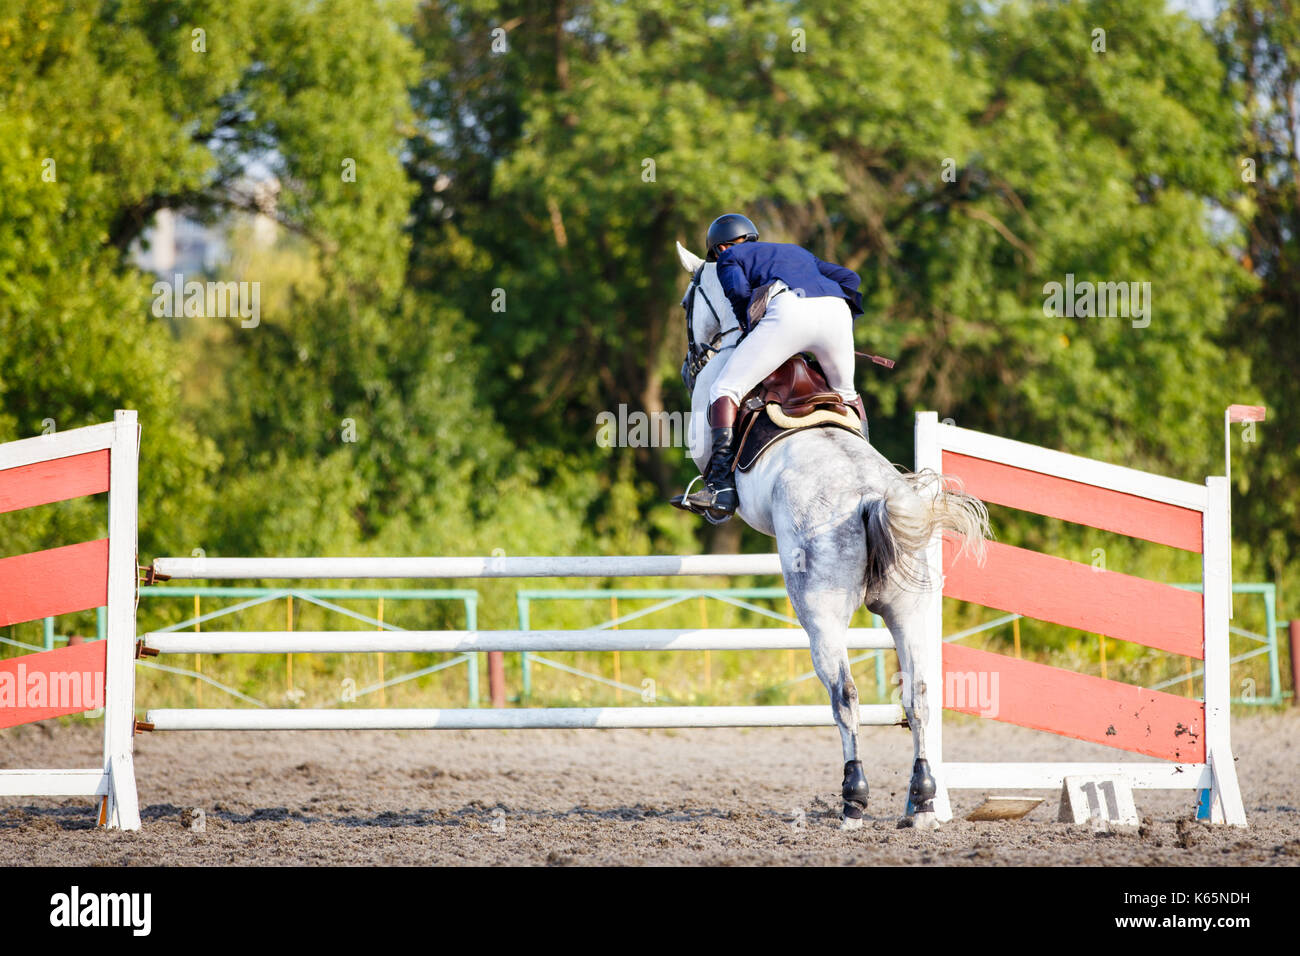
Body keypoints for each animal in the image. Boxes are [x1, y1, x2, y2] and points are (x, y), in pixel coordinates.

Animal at [674, 241, 990, 830]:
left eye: (687, 302)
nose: (688, 365)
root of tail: (870, 496)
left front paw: (711, 496)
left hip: (818, 610)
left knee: (845, 694)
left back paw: (853, 797)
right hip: (909, 607)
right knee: (919, 694)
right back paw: (922, 801)